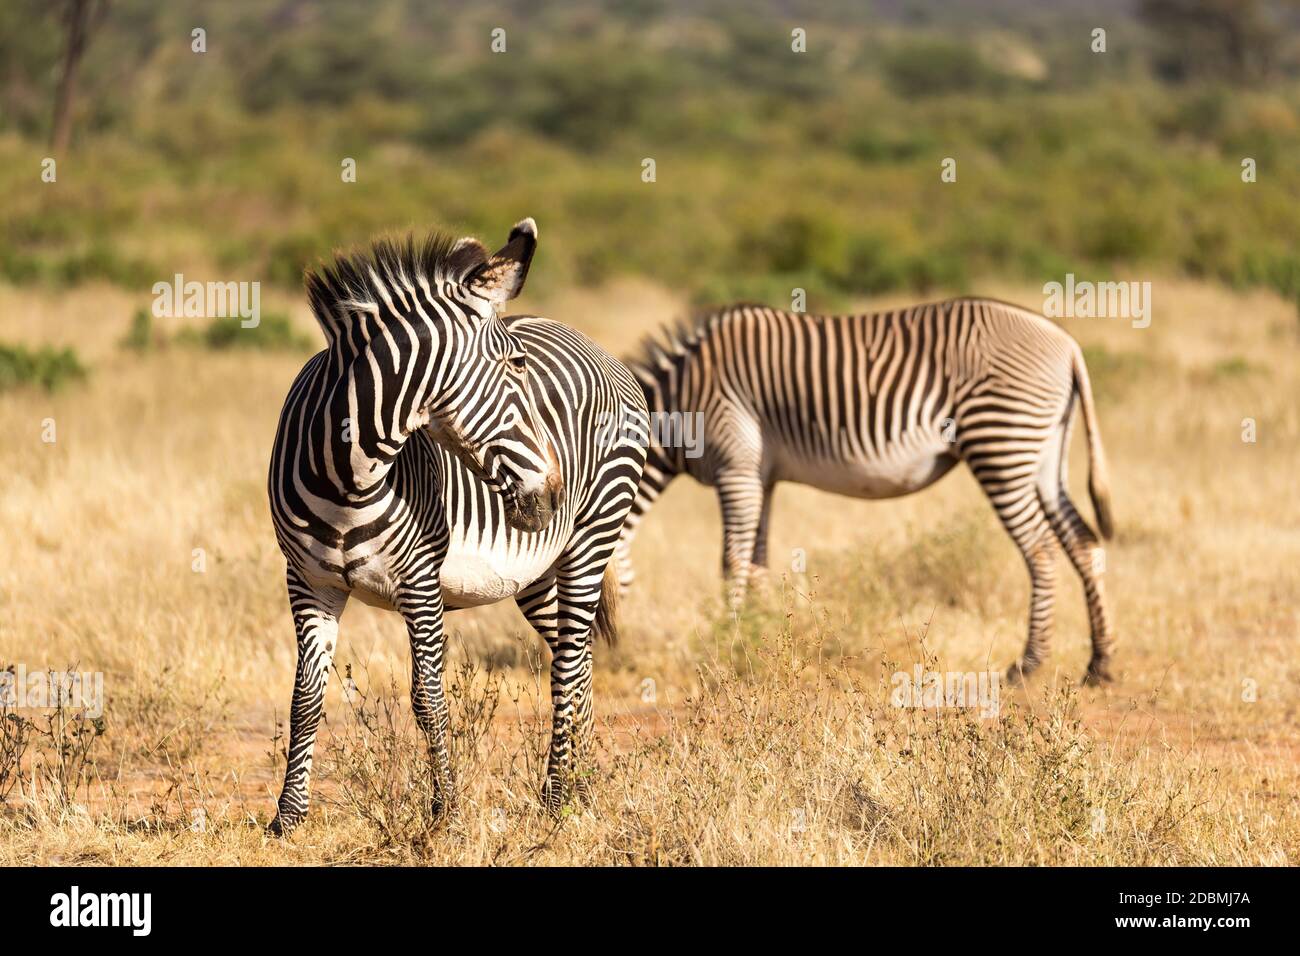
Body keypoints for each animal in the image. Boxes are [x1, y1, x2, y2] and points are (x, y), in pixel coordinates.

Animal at [266, 219, 648, 834]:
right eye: (515, 366)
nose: (553, 493)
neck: (349, 475)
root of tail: (597, 348)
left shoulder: (420, 581)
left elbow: (428, 699)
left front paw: (445, 811)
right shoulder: (308, 582)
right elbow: (306, 698)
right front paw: (288, 817)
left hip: (593, 535)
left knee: (568, 664)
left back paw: (555, 798)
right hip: (536, 571)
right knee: (580, 660)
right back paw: (581, 787)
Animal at [617, 297, 1116, 684]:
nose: (613, 657)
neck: (683, 403)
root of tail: (1067, 344)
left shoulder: (735, 468)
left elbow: (731, 563)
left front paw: (729, 646)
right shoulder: (760, 476)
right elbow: (757, 563)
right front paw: (759, 641)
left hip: (1001, 443)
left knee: (1042, 550)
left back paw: (1028, 665)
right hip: (1043, 455)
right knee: (1083, 542)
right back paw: (1100, 664)